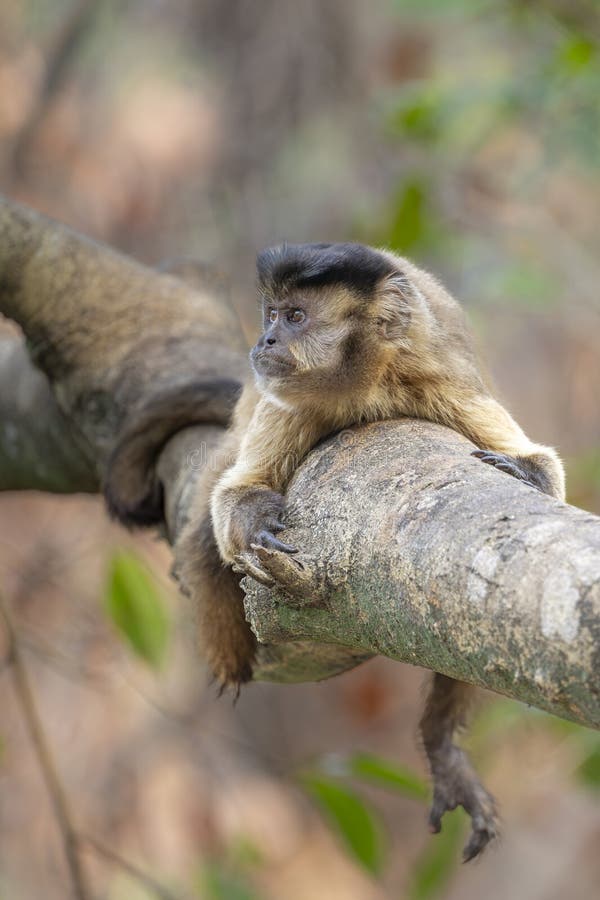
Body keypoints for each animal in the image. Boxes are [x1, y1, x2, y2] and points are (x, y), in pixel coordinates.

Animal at [173, 241, 564, 862]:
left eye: (296, 317)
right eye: (271, 315)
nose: (265, 341)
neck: (368, 390)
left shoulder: (440, 386)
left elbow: (545, 473)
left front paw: (523, 470)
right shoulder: (285, 403)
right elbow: (236, 496)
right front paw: (257, 527)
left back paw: (438, 742)